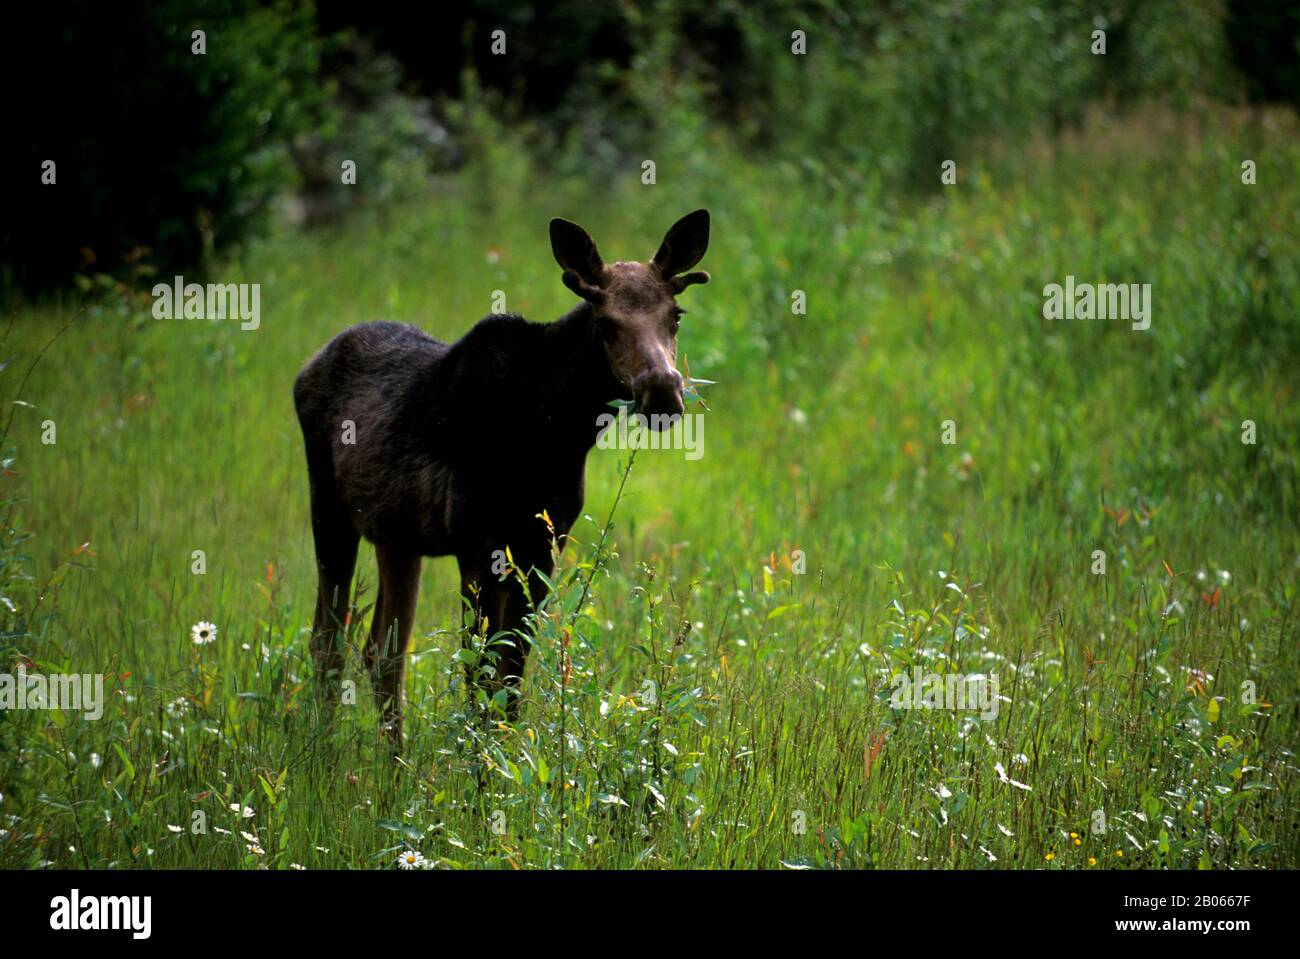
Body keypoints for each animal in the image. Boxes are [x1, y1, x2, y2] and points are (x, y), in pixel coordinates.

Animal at [292, 209, 710, 749]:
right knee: (328, 639)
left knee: (381, 650)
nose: (662, 392)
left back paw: (393, 758)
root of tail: (306, 368)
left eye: (676, 315)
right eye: (606, 323)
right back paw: (324, 749)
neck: (555, 430)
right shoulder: (477, 541)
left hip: (397, 537)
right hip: (329, 510)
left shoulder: (544, 545)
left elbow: (510, 677)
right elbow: (481, 672)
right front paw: (481, 765)